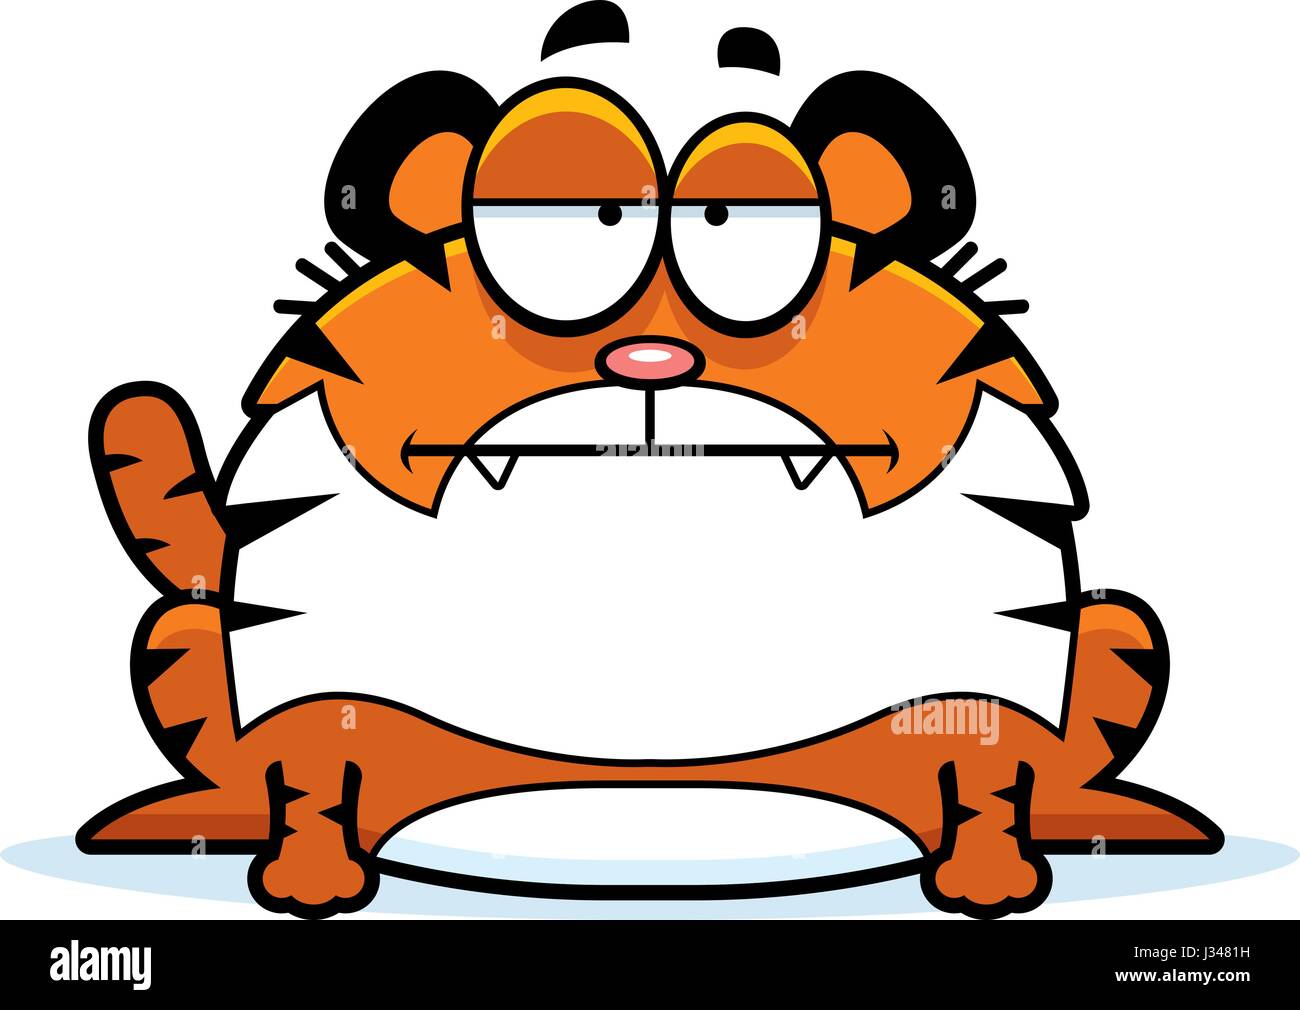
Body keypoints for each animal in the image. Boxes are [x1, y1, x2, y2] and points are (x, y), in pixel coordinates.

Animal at [79, 1, 1220, 918]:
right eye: (566, 211)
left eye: (740, 219)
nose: (651, 359)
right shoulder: (323, 707)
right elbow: (321, 766)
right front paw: (310, 875)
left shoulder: (970, 707)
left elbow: (978, 769)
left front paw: (989, 875)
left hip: (1116, 635)